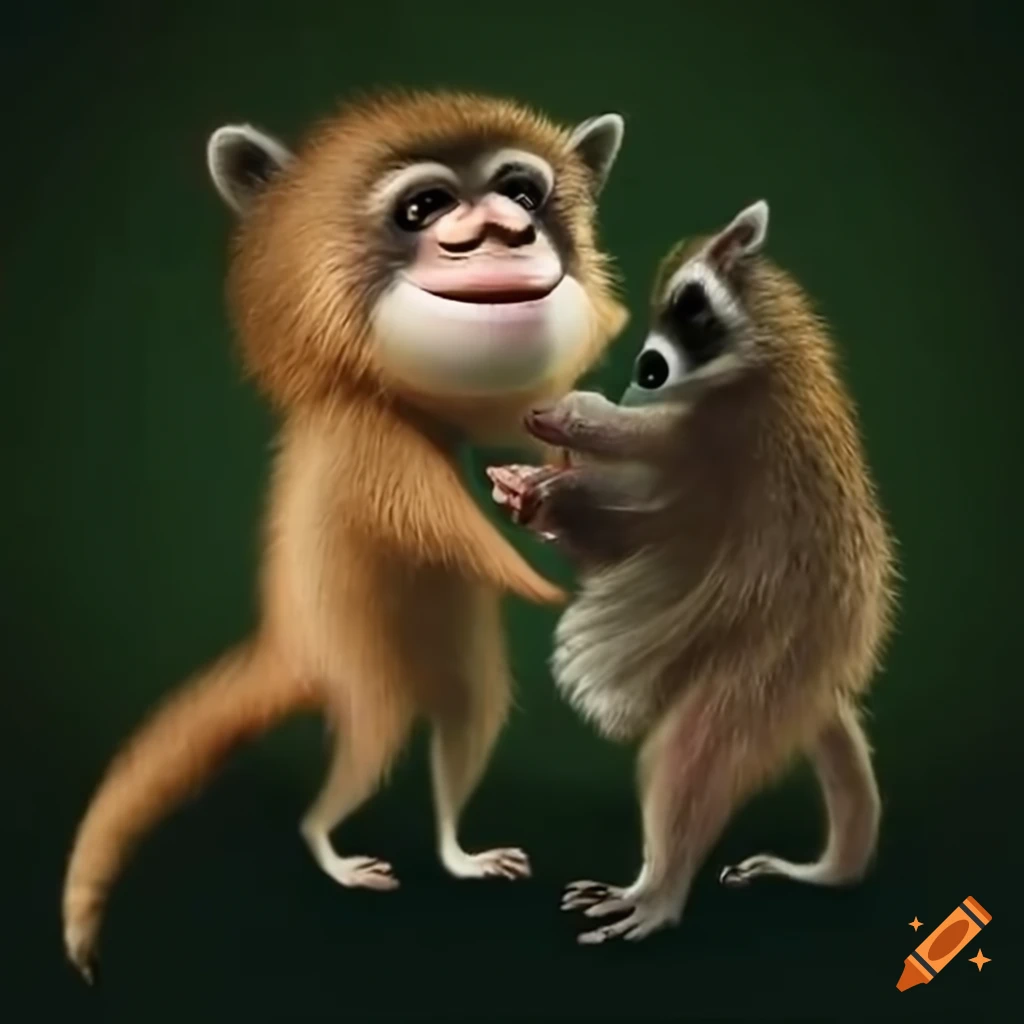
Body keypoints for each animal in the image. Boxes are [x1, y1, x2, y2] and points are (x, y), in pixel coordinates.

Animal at [62, 90, 630, 980]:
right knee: (367, 749)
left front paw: (558, 491)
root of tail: (289, 643)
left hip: (458, 665)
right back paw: (328, 843)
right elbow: (423, 510)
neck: (418, 402)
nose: (505, 230)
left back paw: (457, 846)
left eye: (523, 191)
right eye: (423, 206)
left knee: (468, 724)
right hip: (360, 666)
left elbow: (537, 435)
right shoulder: (362, 441)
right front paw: (530, 569)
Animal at [487, 199, 897, 945]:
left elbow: (646, 444)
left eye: (694, 306)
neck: (748, 357)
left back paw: (660, 888)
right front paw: (546, 486)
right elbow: (625, 532)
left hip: (772, 657)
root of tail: (826, 667)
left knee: (693, 754)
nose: (647, 369)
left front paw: (575, 417)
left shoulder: (738, 424)